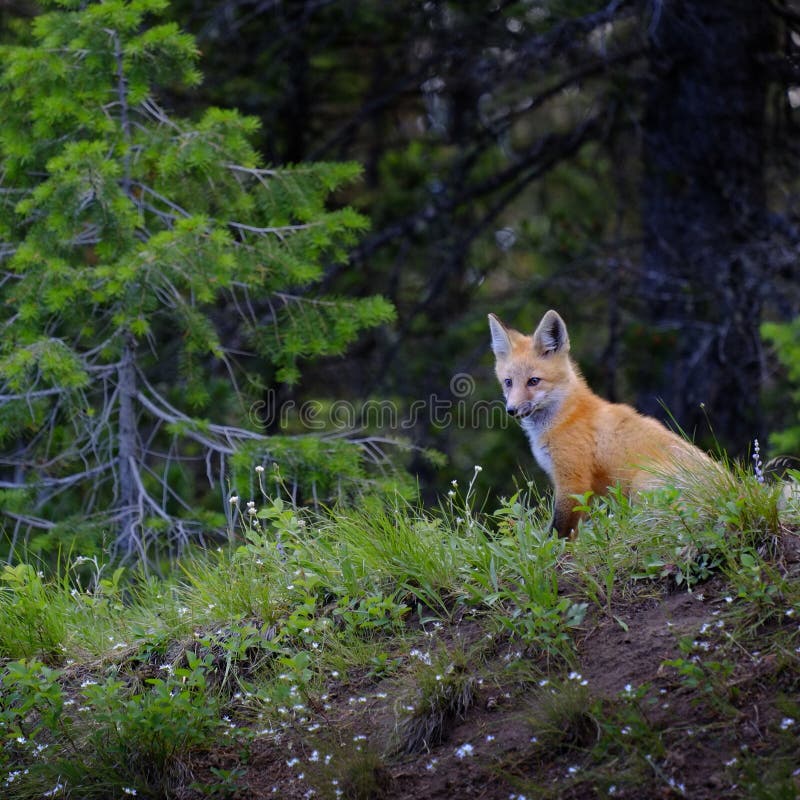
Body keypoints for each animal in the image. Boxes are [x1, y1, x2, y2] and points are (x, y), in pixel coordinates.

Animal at [488, 309, 713, 537]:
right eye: (508, 382)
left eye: (533, 381)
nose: (511, 410)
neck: (565, 417)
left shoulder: (573, 481)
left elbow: (559, 531)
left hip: (641, 483)